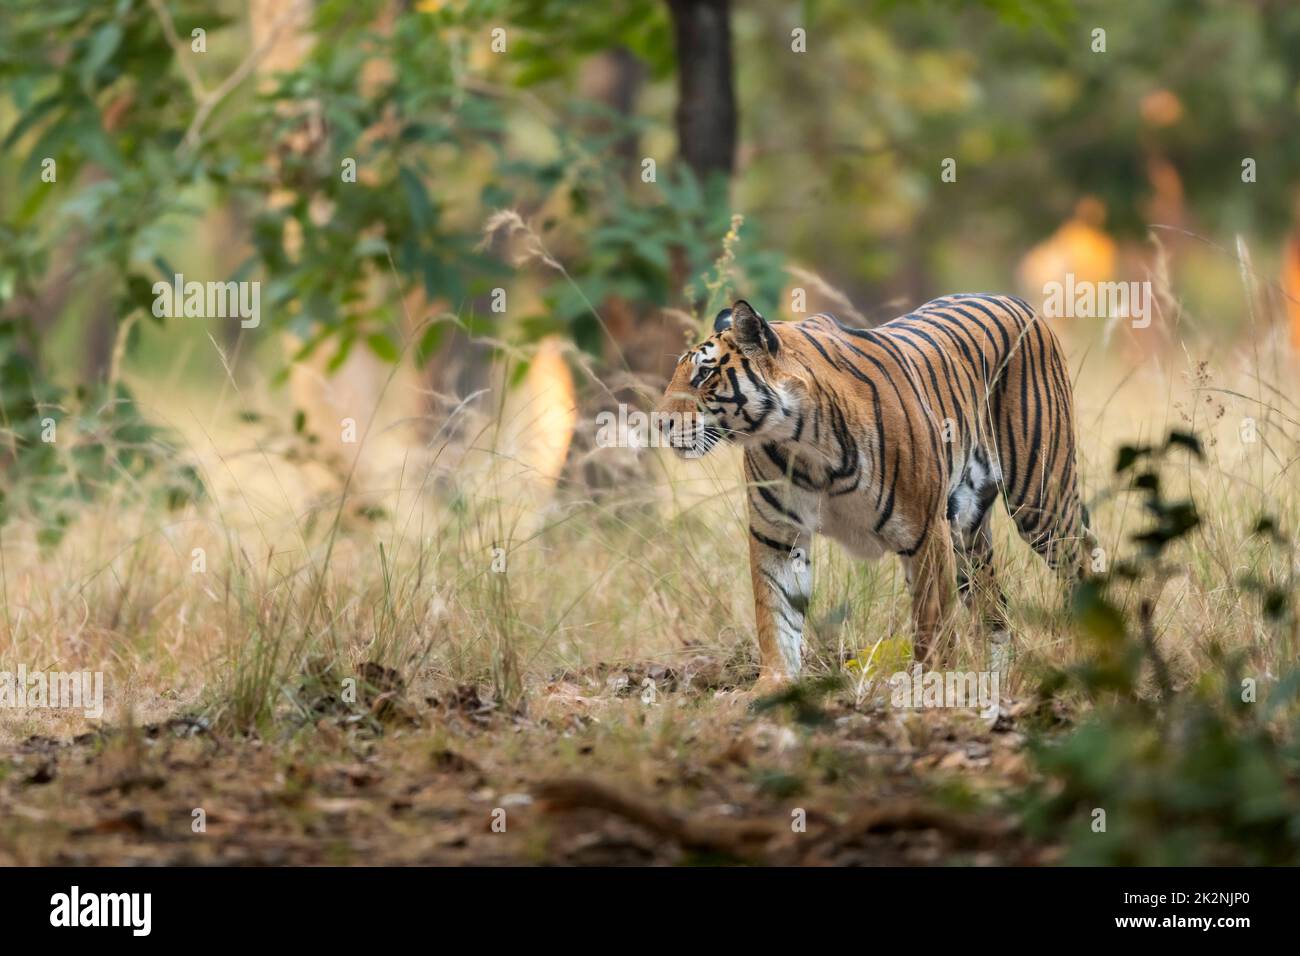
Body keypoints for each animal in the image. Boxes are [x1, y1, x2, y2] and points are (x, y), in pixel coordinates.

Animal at [655, 294, 1089, 691]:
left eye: (704, 375)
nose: (658, 423)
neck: (801, 444)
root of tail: (1015, 300)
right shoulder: (776, 536)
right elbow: (776, 617)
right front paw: (771, 688)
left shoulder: (924, 532)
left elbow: (931, 620)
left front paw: (930, 685)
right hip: (968, 531)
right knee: (992, 607)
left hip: (1042, 503)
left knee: (1081, 563)